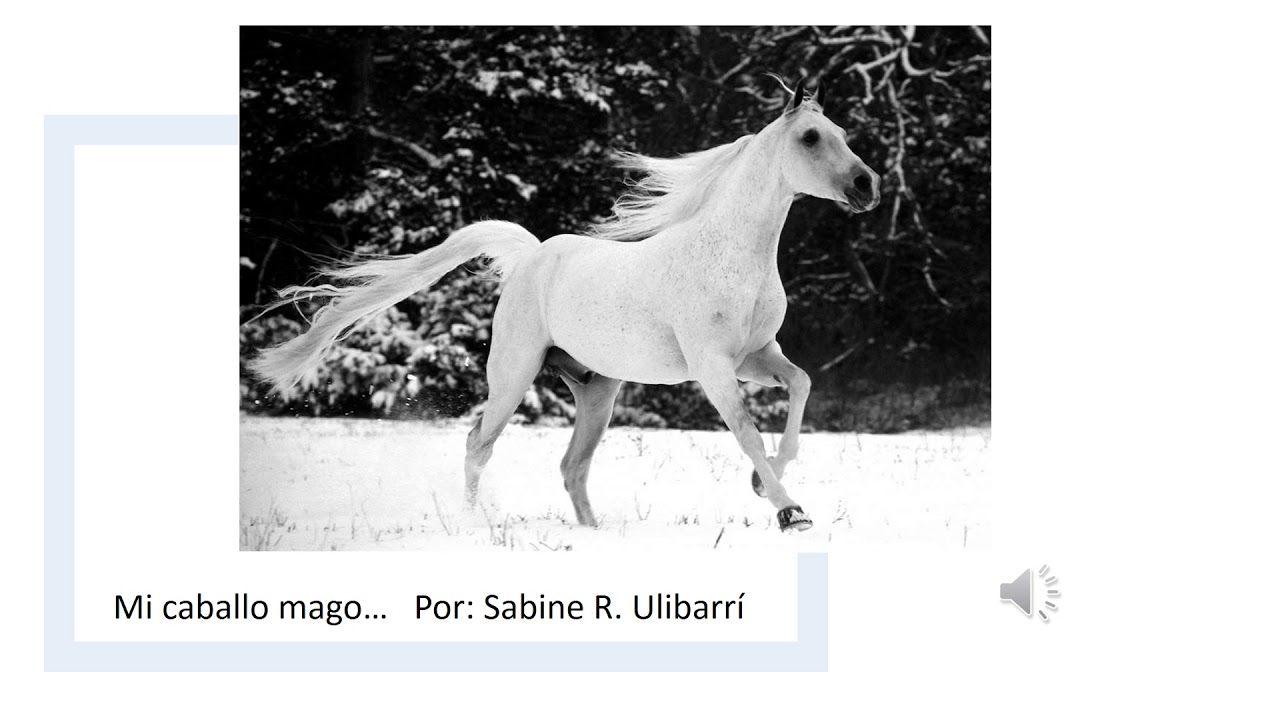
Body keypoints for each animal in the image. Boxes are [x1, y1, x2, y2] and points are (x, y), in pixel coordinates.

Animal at [250, 79, 881, 533]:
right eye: (810, 138)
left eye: (842, 131)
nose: (866, 186)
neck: (730, 255)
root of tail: (531, 257)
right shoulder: (713, 367)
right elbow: (746, 431)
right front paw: (789, 512)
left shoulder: (757, 356)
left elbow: (800, 386)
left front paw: (760, 483)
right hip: (513, 374)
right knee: (479, 445)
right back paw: (473, 525)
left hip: (598, 391)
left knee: (571, 467)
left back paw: (593, 533)